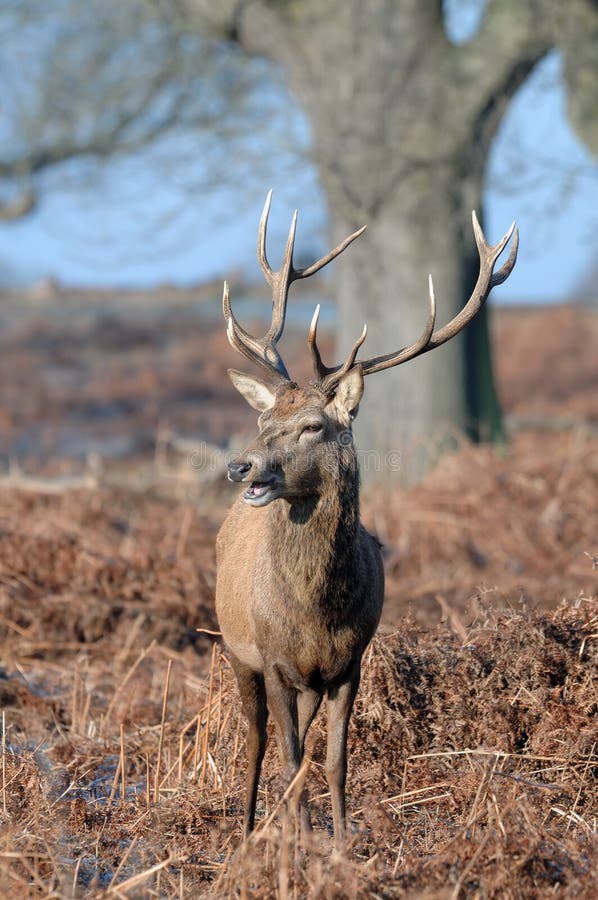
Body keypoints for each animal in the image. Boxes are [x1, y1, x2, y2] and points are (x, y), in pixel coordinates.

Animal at [215, 191, 518, 847]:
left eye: (313, 425)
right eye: (263, 418)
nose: (240, 465)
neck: (315, 613)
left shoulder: (350, 662)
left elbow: (333, 759)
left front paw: (340, 842)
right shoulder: (272, 660)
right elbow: (289, 758)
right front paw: (298, 843)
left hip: (305, 680)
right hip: (234, 648)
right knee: (255, 743)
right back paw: (247, 833)